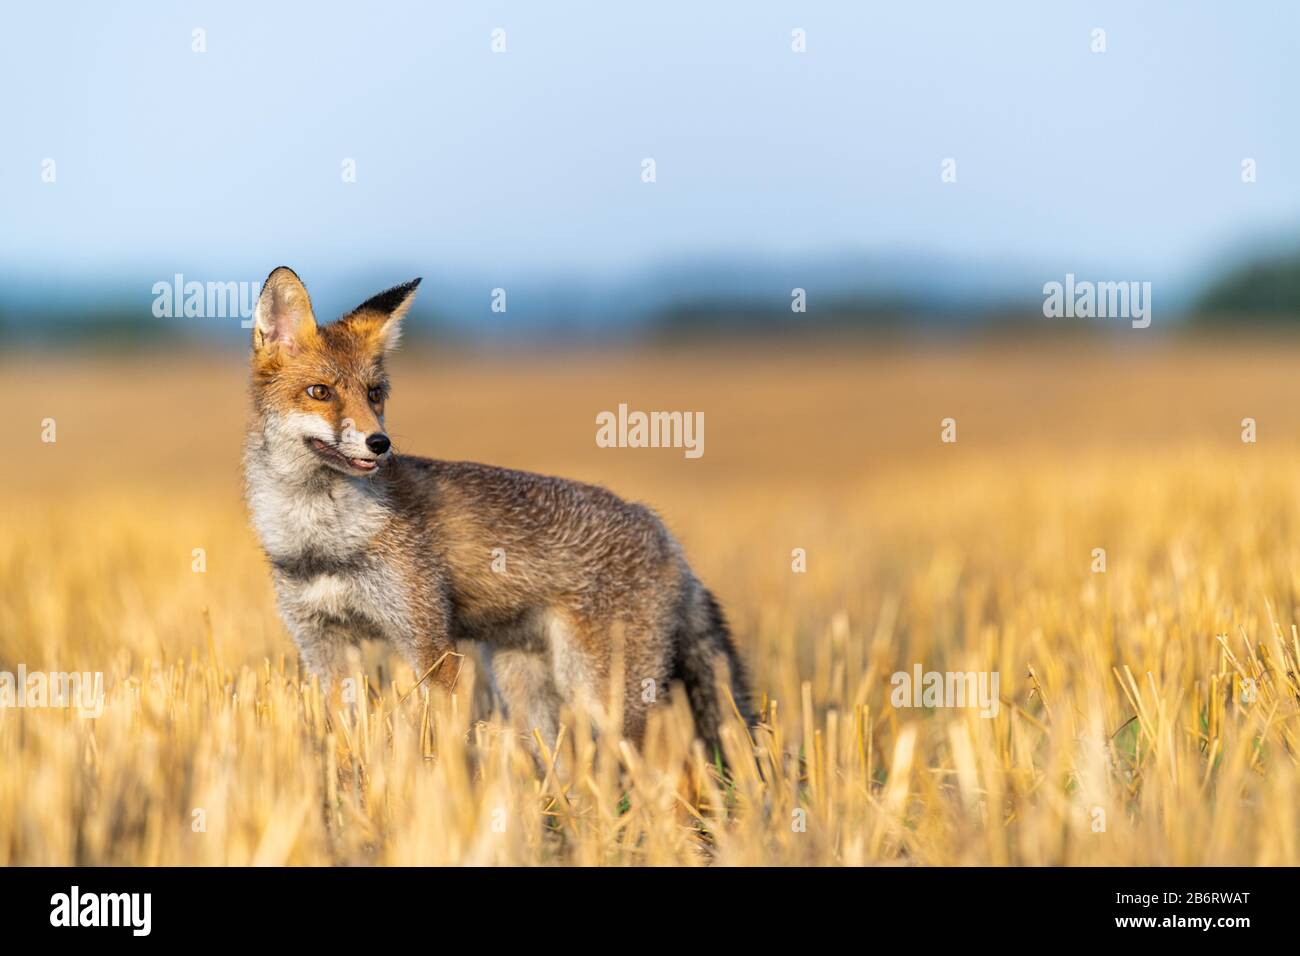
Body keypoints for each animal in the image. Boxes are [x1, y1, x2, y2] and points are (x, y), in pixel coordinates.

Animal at [243, 267, 755, 754]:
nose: (379, 443)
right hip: (523, 686)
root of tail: (664, 533)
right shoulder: (323, 643)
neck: (321, 538)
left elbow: (438, 733)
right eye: (320, 392)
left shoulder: (429, 642)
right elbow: (343, 731)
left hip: (600, 691)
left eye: (374, 394)